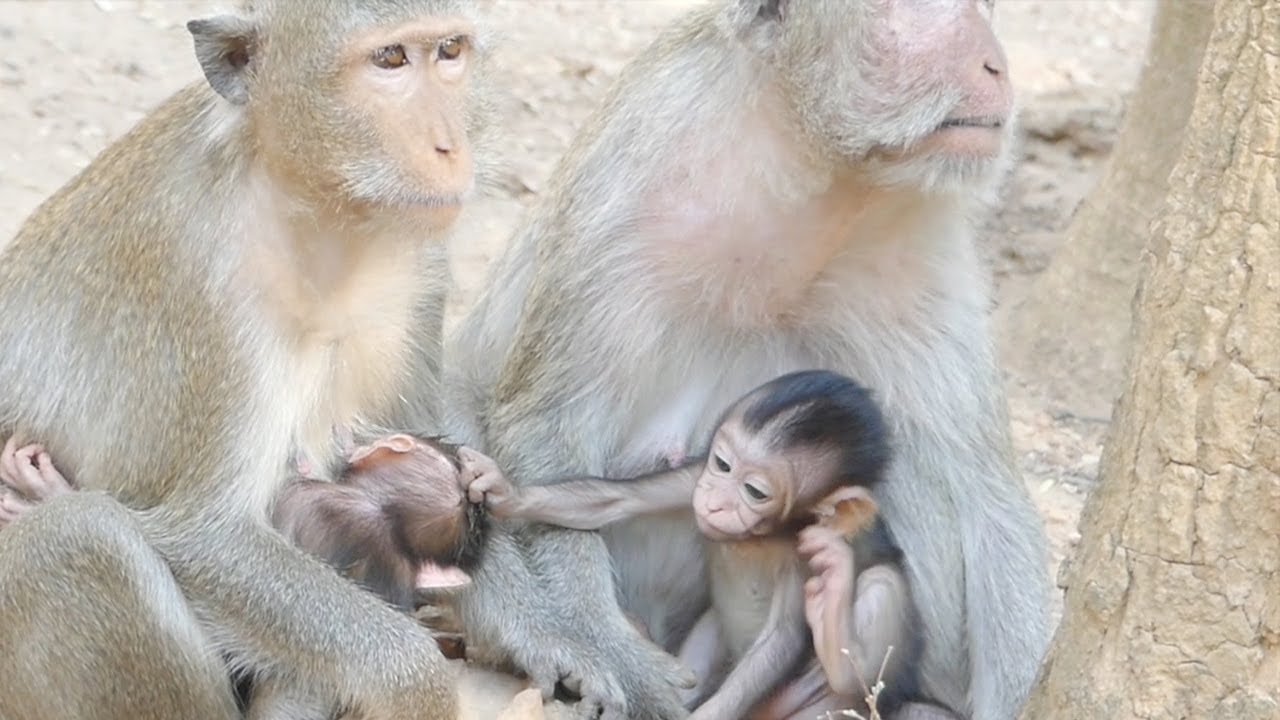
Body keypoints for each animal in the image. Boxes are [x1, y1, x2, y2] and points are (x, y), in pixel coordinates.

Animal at [0, 2, 497, 718]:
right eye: (391, 59)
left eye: (450, 51)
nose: (449, 147)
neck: (316, 216)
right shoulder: (202, 285)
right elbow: (203, 536)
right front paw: (420, 685)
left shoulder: (424, 268)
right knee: (84, 536)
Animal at [463, 370, 950, 720]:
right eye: (722, 464)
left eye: (754, 491)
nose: (715, 503)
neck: (759, 537)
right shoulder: (693, 479)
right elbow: (616, 501)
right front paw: (506, 492)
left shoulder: (802, 546)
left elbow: (781, 639)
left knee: (881, 589)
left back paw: (834, 608)